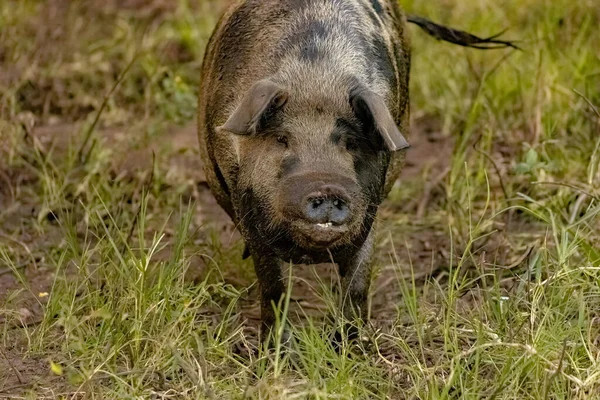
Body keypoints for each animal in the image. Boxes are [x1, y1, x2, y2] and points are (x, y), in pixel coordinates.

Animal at [198, 0, 516, 344]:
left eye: (350, 142)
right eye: (282, 139)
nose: (326, 187)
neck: (316, 76)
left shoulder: (370, 211)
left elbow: (358, 282)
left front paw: (348, 346)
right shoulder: (248, 211)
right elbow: (272, 285)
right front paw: (275, 348)